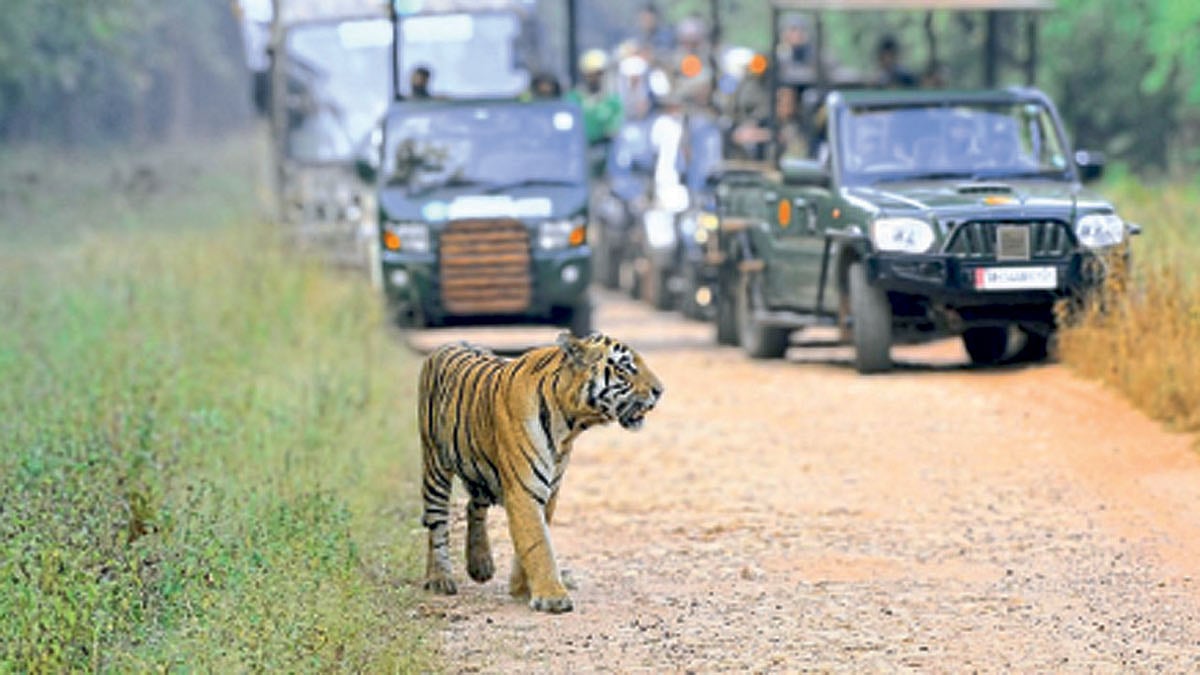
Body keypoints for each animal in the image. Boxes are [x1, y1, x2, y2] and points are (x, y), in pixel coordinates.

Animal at [417, 331, 663, 613]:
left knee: (473, 507)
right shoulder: (525, 488)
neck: (570, 425)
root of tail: (449, 345)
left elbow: (533, 538)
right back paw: (439, 578)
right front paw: (551, 596)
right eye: (625, 368)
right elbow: (538, 542)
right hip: (434, 465)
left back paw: (480, 565)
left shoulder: (551, 489)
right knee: (437, 523)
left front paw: (521, 588)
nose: (660, 390)